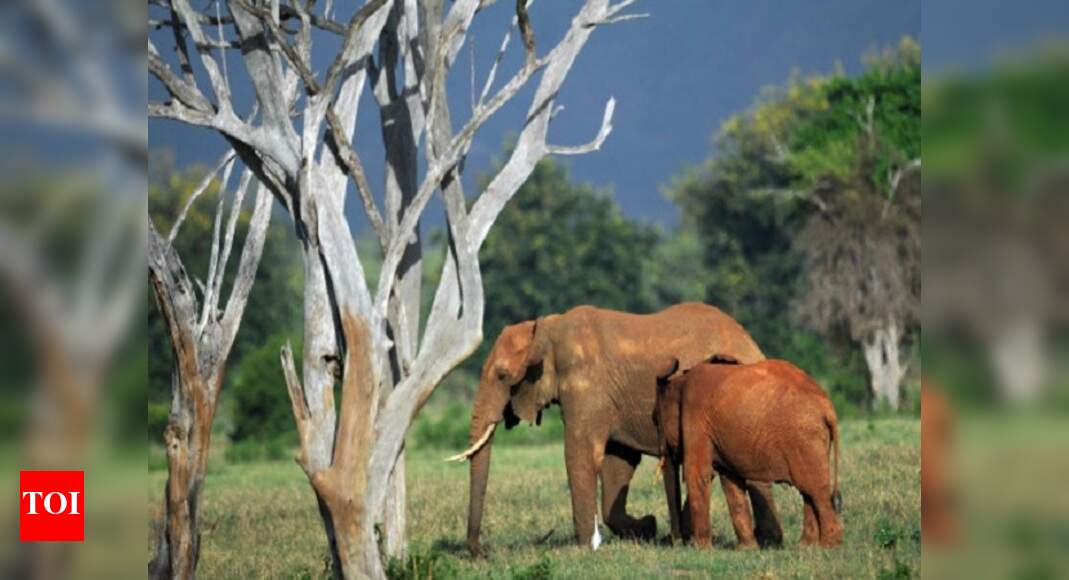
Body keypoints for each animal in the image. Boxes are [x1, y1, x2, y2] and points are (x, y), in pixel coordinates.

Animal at [447, 302, 783, 554]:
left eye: (502, 376)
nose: (480, 553)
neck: (547, 329)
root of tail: (751, 343)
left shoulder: (586, 386)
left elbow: (581, 455)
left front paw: (583, 549)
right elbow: (617, 462)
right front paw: (647, 528)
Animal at [654, 358, 843, 548]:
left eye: (656, 421)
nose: (678, 543)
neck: (679, 381)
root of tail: (828, 407)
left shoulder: (695, 417)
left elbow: (698, 474)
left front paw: (703, 550)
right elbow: (730, 481)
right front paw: (747, 549)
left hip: (805, 439)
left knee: (816, 491)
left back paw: (829, 546)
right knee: (808, 492)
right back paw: (806, 547)